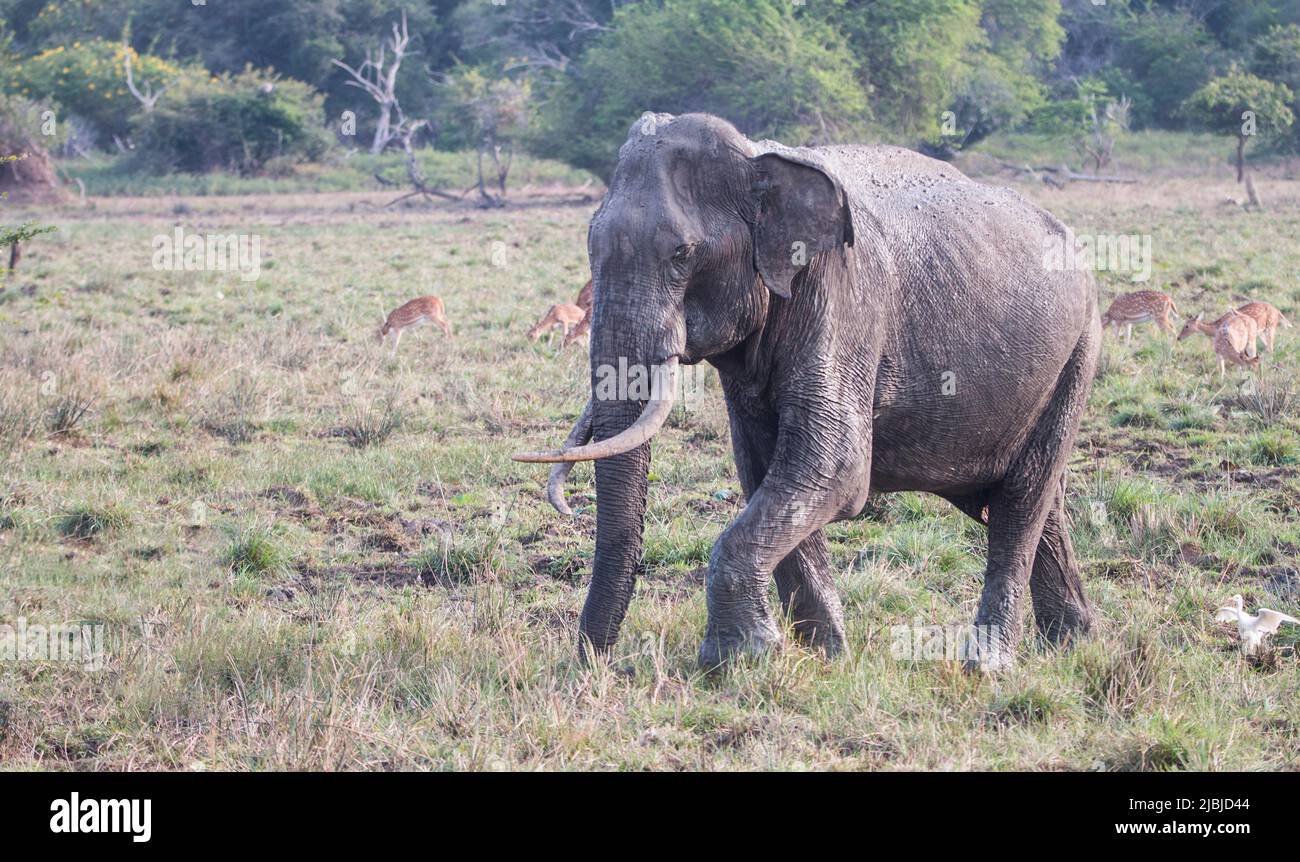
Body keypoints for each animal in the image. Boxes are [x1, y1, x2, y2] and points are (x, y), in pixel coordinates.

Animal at [516, 113, 1098, 670]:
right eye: (589, 242)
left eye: (681, 253)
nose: (598, 665)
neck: (757, 158)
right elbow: (763, 465)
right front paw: (826, 656)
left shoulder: (842, 300)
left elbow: (834, 466)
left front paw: (737, 660)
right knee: (1029, 502)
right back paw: (1072, 641)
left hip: (1078, 354)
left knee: (1020, 504)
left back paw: (989, 664)